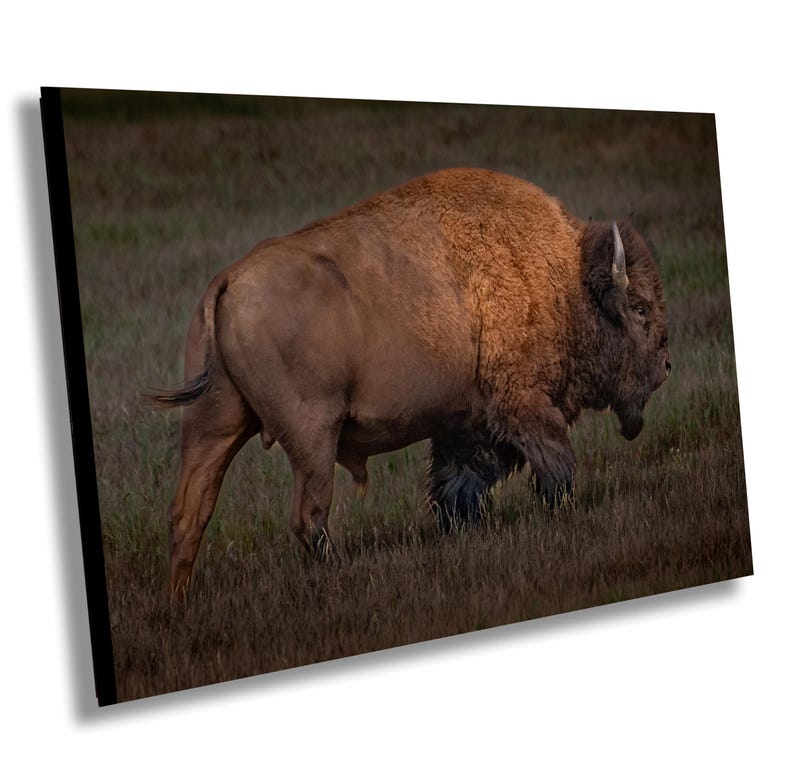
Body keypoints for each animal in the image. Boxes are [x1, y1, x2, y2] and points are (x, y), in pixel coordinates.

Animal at [149, 168, 670, 597]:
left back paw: (180, 602)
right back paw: (336, 575)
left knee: (189, 514)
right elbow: (555, 468)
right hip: (312, 435)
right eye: (640, 308)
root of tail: (226, 281)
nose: (666, 366)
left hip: (213, 424)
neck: (561, 279)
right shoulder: (523, 407)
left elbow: (458, 488)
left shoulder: (465, 426)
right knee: (308, 515)